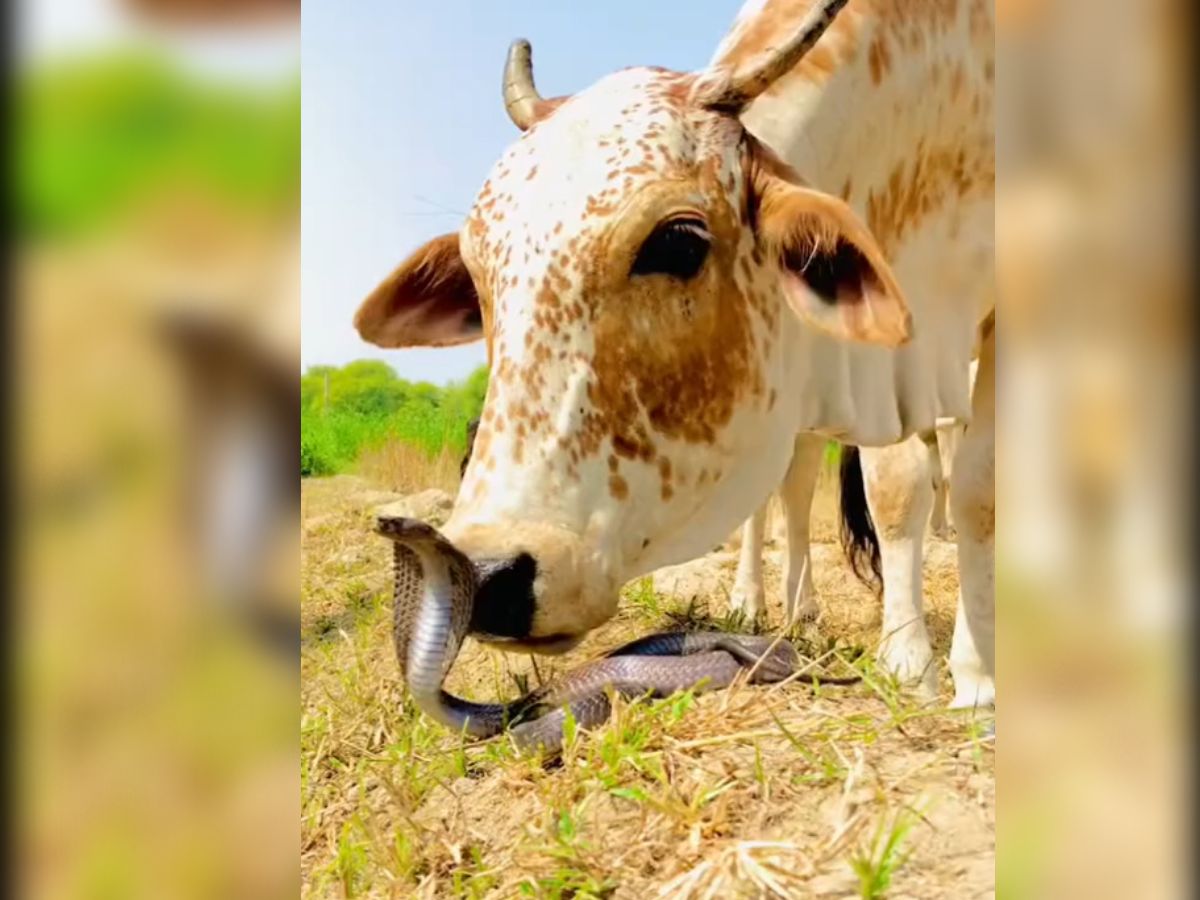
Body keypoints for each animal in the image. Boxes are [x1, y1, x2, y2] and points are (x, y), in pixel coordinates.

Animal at [354, 0, 995, 708]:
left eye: (678, 243)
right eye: (477, 270)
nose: (489, 574)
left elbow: (977, 491)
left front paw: (971, 674)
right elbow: (897, 488)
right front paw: (913, 661)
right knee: (785, 493)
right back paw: (767, 605)